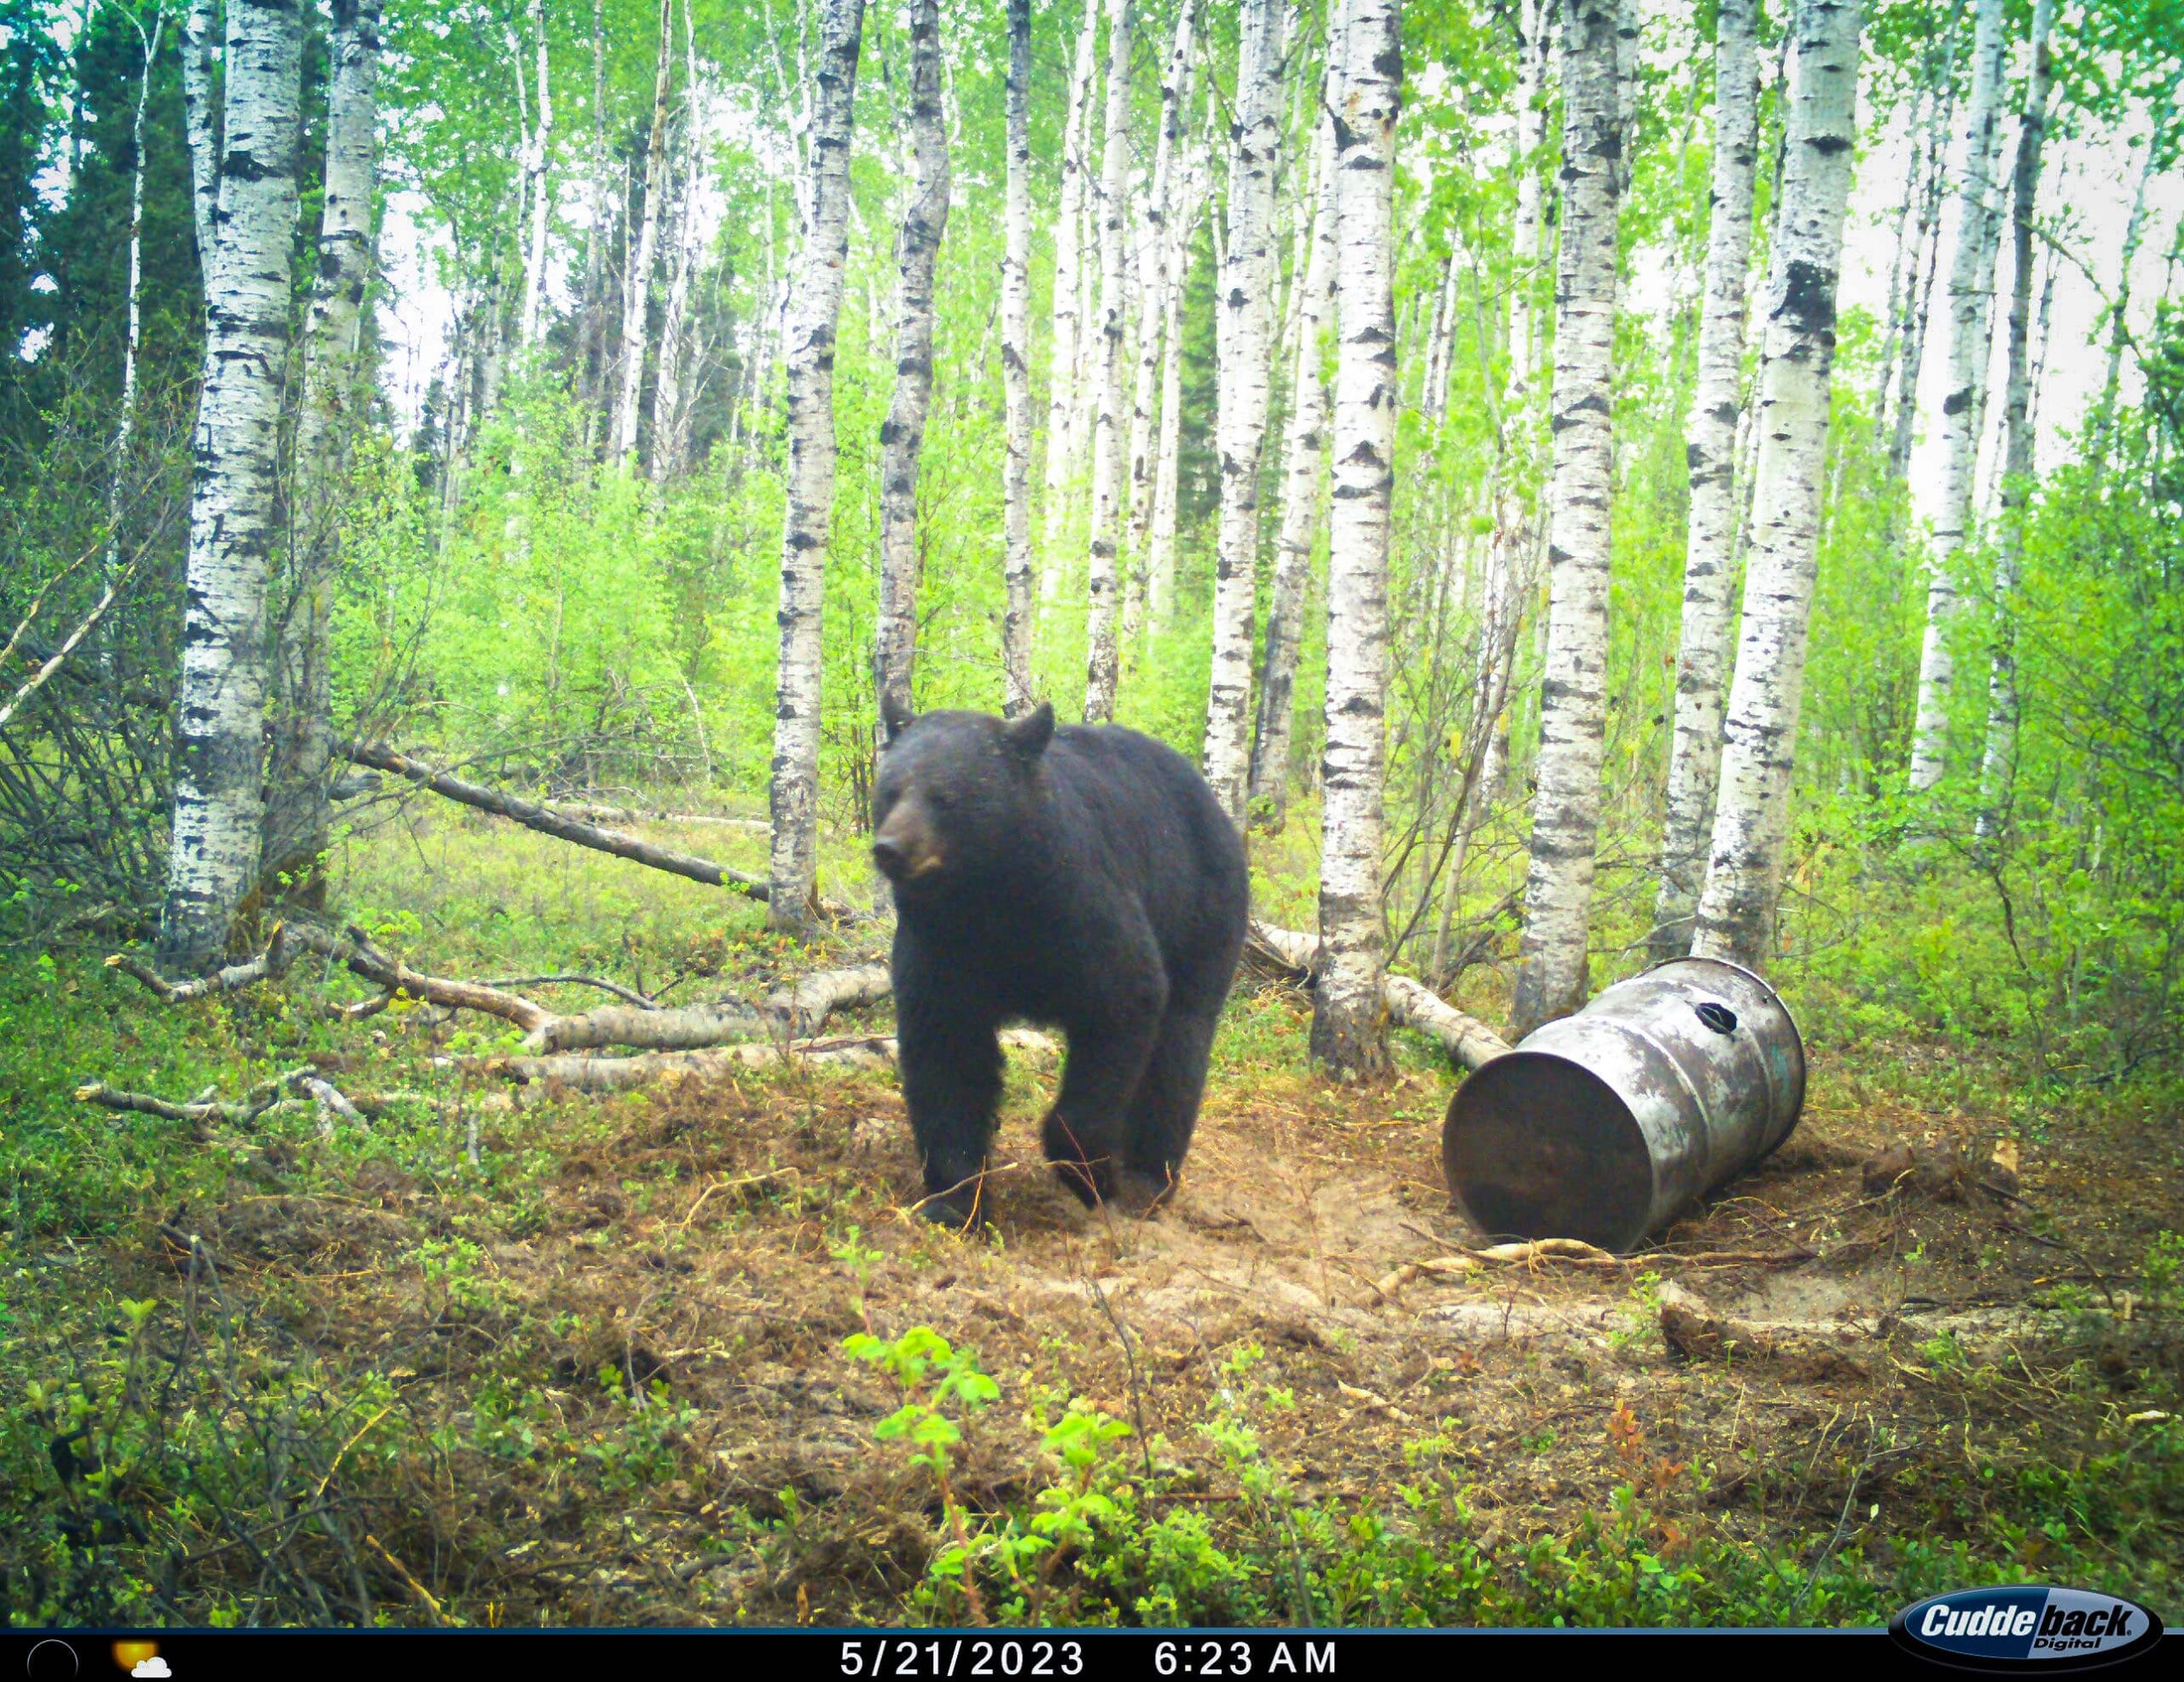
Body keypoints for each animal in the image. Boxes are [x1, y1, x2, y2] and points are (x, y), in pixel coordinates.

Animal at [870, 697, 1250, 1228]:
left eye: (946, 796)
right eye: (890, 790)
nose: (891, 848)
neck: (990, 899)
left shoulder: (1081, 912)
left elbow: (1125, 1000)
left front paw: (1091, 1175)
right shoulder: (942, 946)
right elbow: (946, 1054)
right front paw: (955, 1201)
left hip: (1201, 911)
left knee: (1179, 1045)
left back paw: (1149, 1179)